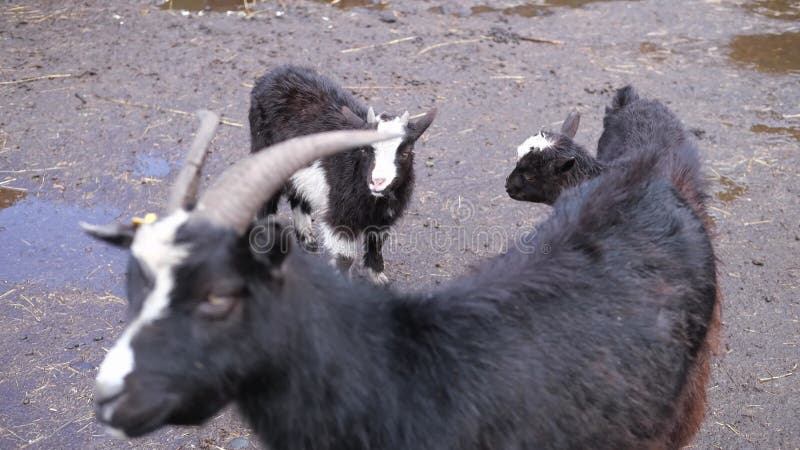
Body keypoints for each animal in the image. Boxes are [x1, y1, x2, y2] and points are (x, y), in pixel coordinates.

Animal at [249, 65, 436, 284]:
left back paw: (307, 239)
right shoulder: (342, 215)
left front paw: (377, 276)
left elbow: (376, 244)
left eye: (406, 152)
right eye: (365, 149)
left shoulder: (383, 216)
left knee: (299, 195)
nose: (378, 181)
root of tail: (274, 73)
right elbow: (345, 257)